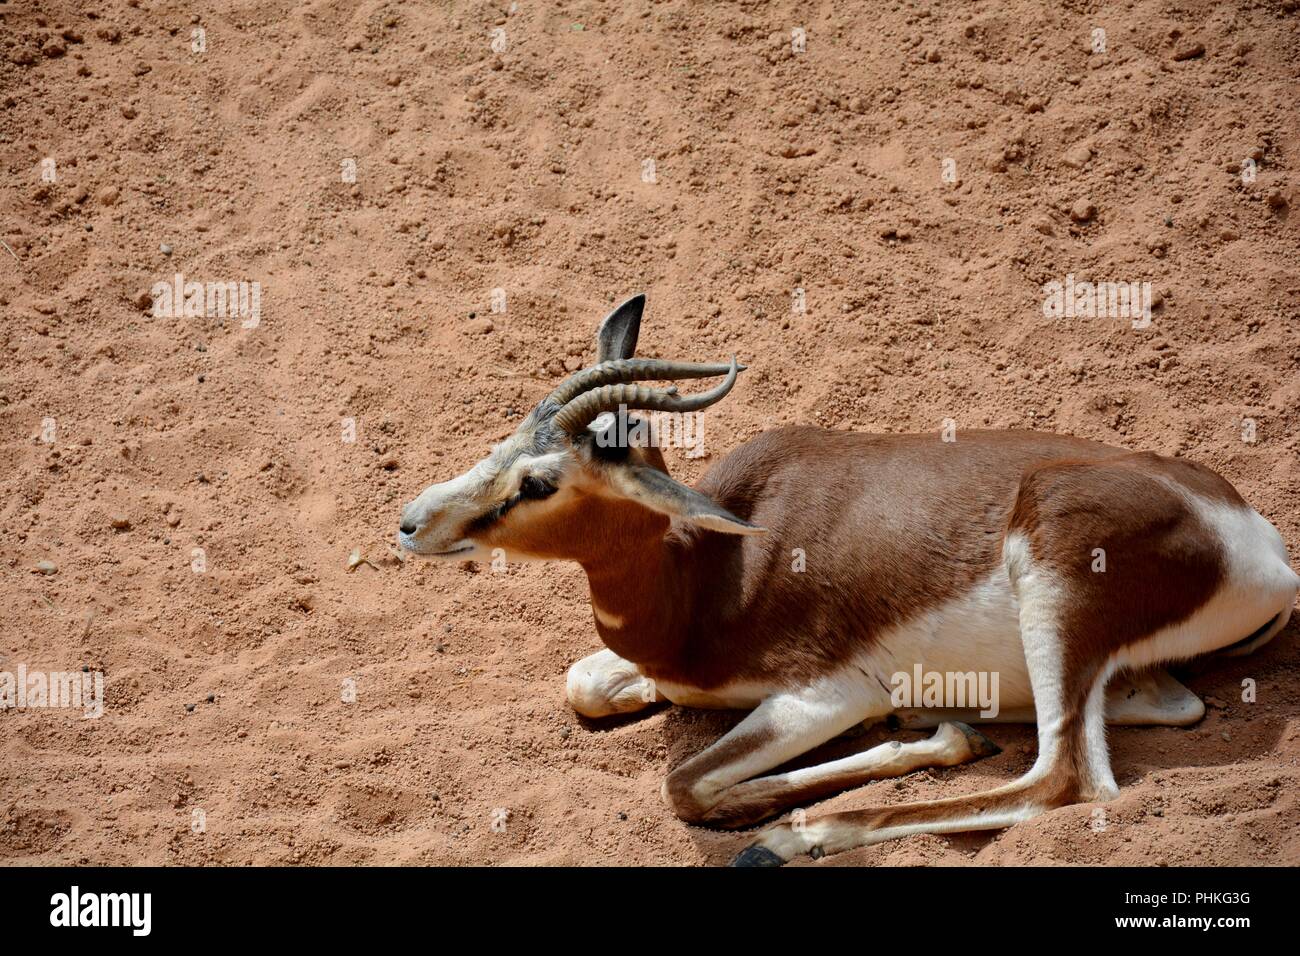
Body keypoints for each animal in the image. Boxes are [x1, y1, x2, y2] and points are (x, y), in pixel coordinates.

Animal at [397, 294, 1298, 866]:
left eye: (540, 481)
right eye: (505, 440)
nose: (411, 522)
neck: (704, 577)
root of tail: (1260, 544)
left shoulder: (828, 694)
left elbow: (686, 785)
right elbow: (584, 684)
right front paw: (939, 732)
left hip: (1054, 580)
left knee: (1065, 779)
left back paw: (796, 838)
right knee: (1165, 706)